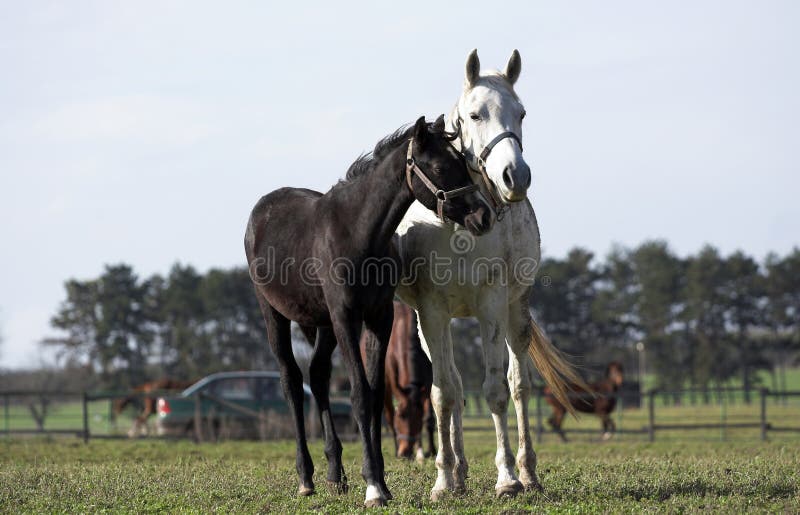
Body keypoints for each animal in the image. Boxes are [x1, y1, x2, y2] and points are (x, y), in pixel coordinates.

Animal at [361, 300, 436, 461]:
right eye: (400, 416)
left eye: (418, 416)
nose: (405, 452)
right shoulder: (389, 384)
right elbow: (390, 416)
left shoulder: (428, 380)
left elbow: (429, 418)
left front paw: (429, 451)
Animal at [394, 49, 588, 500]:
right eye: (475, 114)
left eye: (521, 113)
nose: (516, 177)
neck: (457, 224)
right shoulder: (431, 312)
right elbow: (444, 394)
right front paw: (444, 479)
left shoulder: (492, 305)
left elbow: (496, 391)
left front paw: (507, 478)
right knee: (455, 384)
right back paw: (460, 472)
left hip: (515, 312)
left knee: (519, 386)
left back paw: (528, 472)